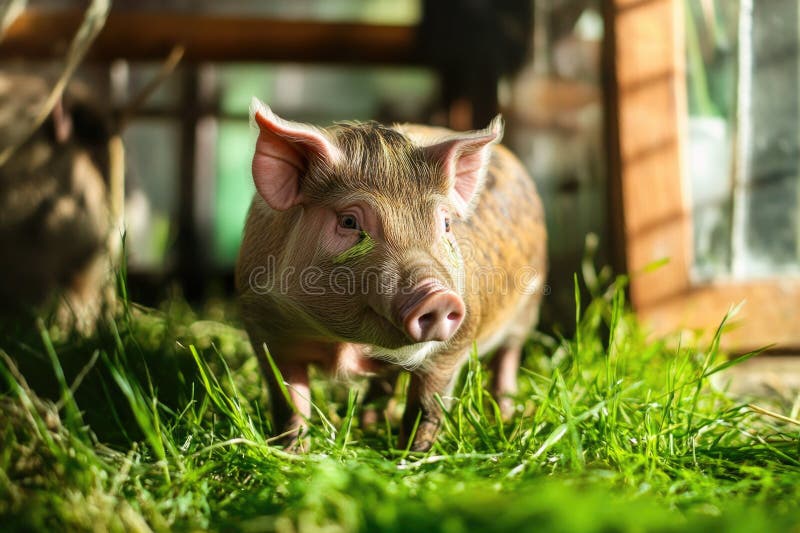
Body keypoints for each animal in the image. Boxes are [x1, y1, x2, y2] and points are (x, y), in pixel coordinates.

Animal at [236, 98, 547, 452]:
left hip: (529, 304)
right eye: (349, 222)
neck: (346, 345)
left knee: (508, 355)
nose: (437, 296)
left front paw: (412, 457)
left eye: (446, 224)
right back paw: (369, 423)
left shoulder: (453, 345)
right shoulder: (265, 328)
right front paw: (291, 453)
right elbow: (289, 404)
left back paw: (504, 414)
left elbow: (427, 409)